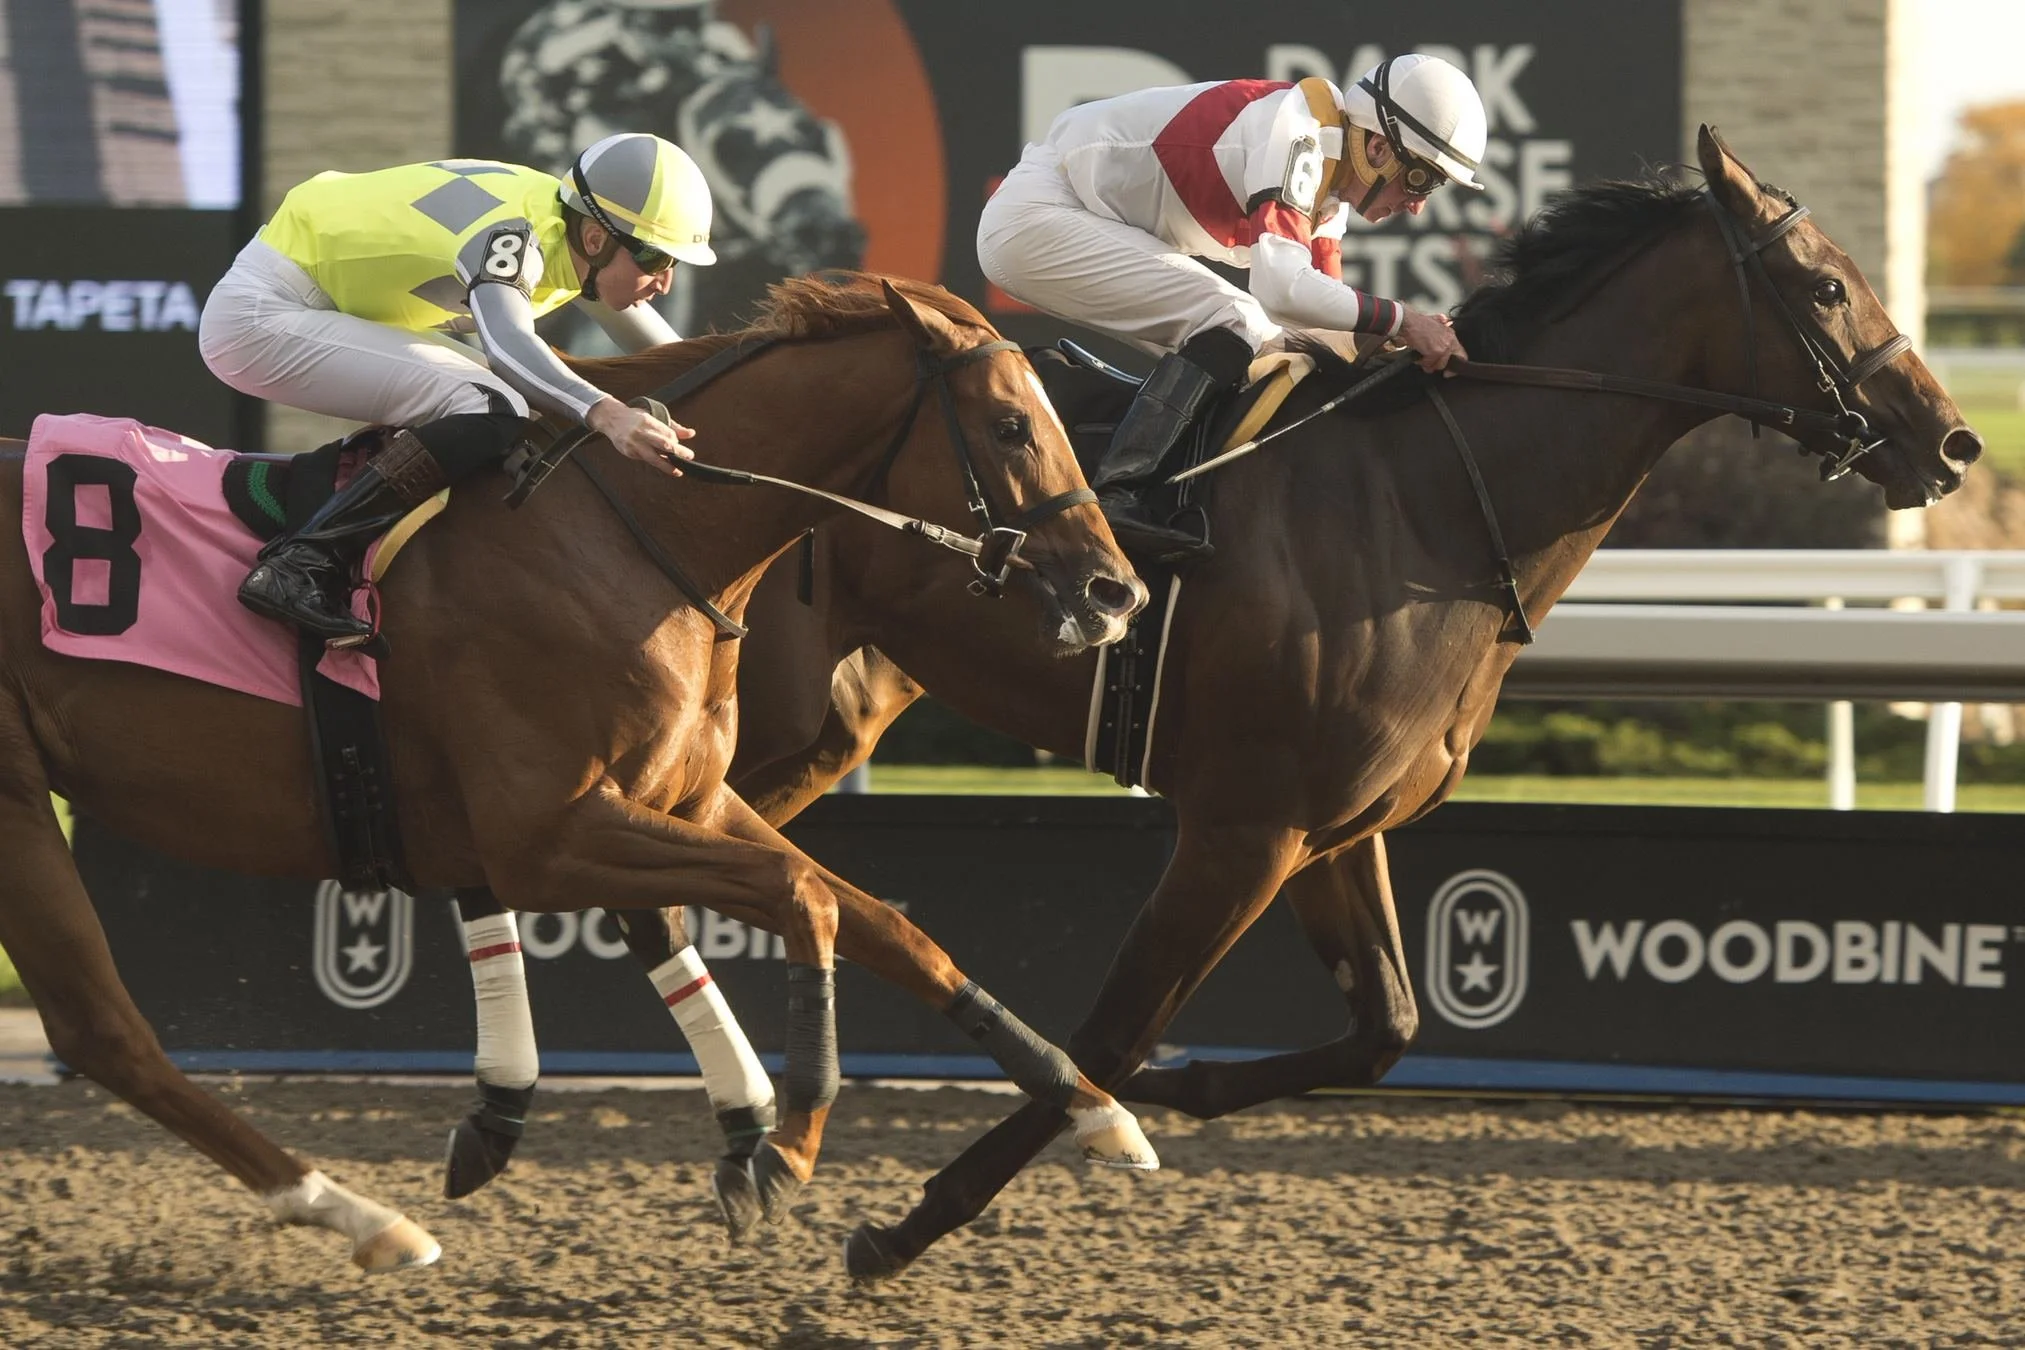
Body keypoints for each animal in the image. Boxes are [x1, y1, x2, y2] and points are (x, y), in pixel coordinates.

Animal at [0, 273, 1151, 1273]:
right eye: (1012, 427)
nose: (1116, 592)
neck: (633, 534)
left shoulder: (683, 798)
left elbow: (880, 922)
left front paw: (1094, 1105)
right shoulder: (546, 836)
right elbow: (803, 898)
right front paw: (781, 1143)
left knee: (97, 1029)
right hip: (15, 800)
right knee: (105, 1029)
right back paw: (361, 1215)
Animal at [709, 129, 1979, 1279]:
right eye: (1827, 285)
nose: (1954, 440)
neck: (1429, 507)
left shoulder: (1331, 828)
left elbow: (1384, 1029)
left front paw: (1184, 1080)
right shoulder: (1242, 828)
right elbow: (1111, 1032)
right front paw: (911, 1222)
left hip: (821, 725)